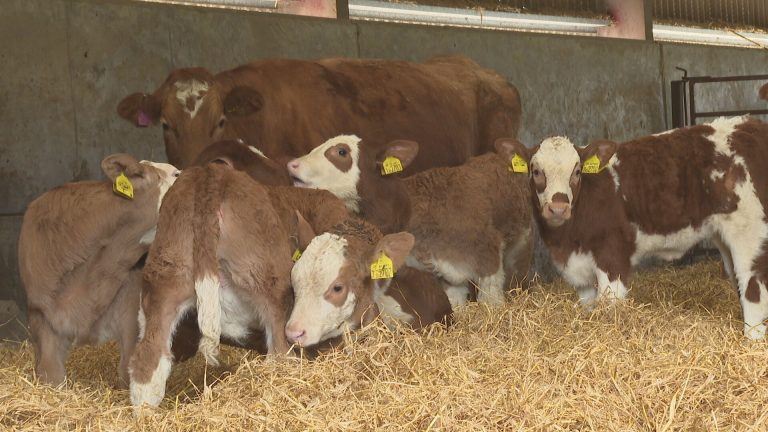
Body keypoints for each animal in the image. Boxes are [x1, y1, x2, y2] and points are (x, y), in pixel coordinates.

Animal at [499, 116, 768, 339]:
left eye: (576, 172)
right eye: (536, 171)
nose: (558, 207)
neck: (566, 241)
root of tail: (751, 125)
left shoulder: (613, 258)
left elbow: (610, 309)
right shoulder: (580, 274)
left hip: (749, 230)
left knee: (752, 283)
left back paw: (752, 338)